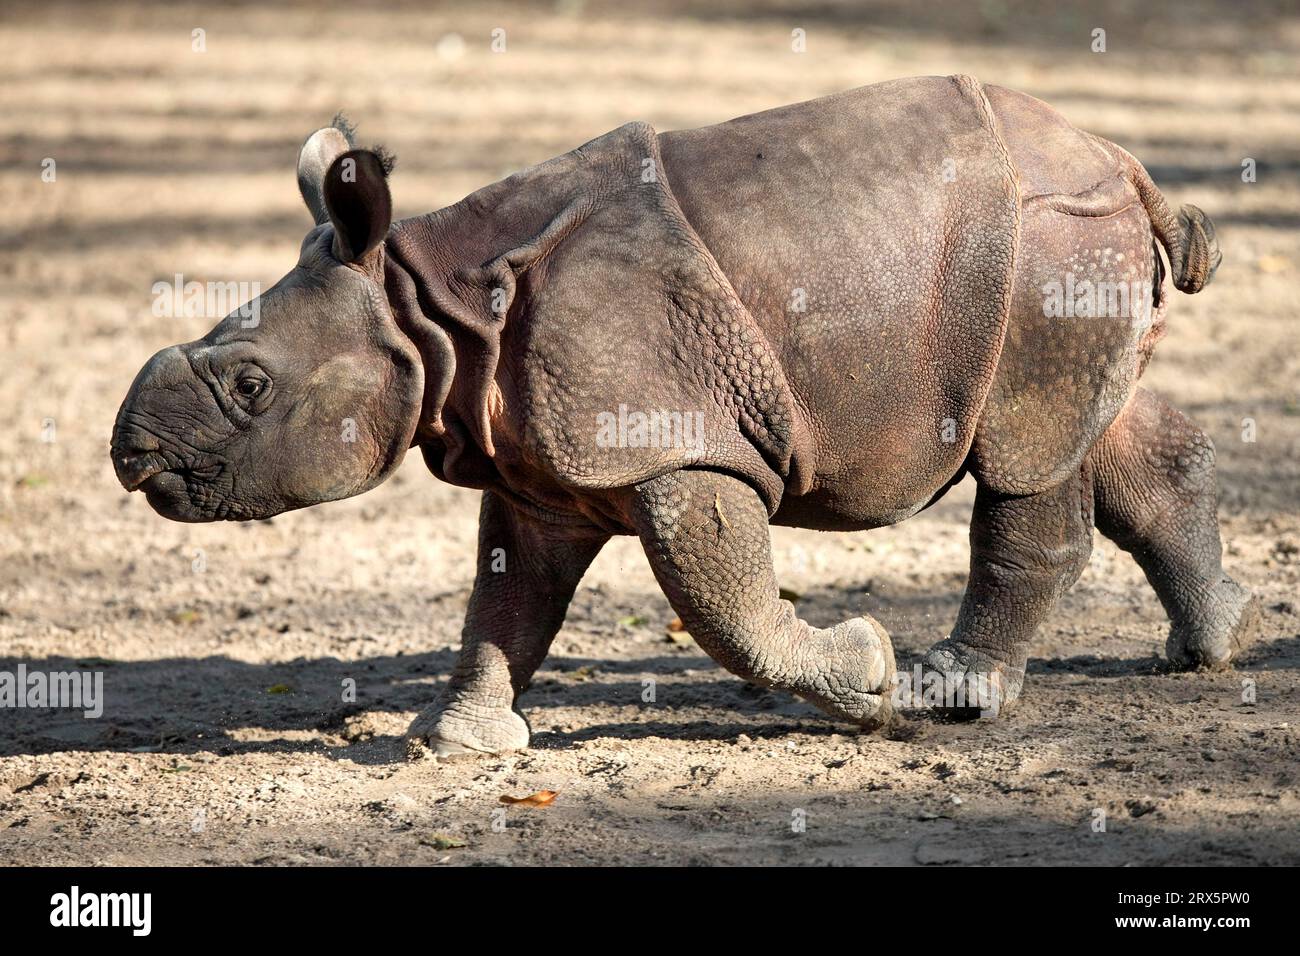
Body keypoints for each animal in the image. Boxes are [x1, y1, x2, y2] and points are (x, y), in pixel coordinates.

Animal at [112, 75, 1259, 755]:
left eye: (251, 386)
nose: (132, 454)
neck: (425, 307)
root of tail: (1123, 163)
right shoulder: (540, 461)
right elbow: (505, 600)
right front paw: (454, 740)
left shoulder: (678, 444)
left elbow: (725, 607)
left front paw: (870, 676)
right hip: (1064, 246)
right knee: (1099, 421)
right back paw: (1209, 647)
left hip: (1047, 236)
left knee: (1026, 447)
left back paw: (955, 692)